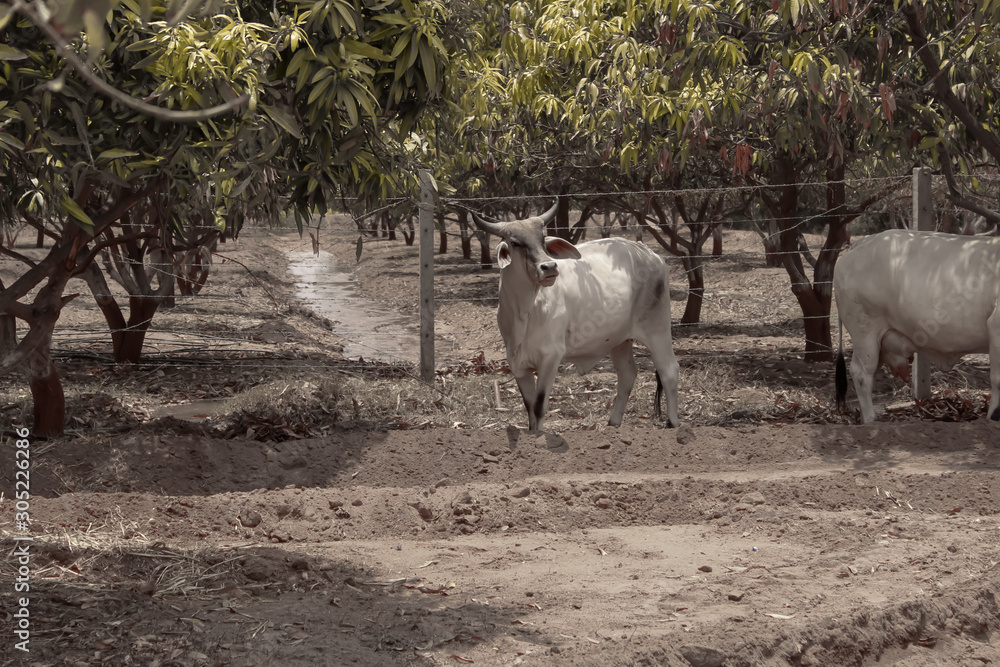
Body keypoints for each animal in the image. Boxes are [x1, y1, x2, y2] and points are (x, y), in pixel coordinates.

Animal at [470, 203, 680, 433]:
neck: (524, 312)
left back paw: (673, 423)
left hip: (657, 329)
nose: (549, 267)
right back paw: (613, 422)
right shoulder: (518, 364)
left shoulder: (551, 357)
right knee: (627, 374)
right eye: (515, 243)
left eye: (542, 239)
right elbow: (530, 409)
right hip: (620, 339)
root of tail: (649, 252)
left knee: (669, 370)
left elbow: (539, 406)